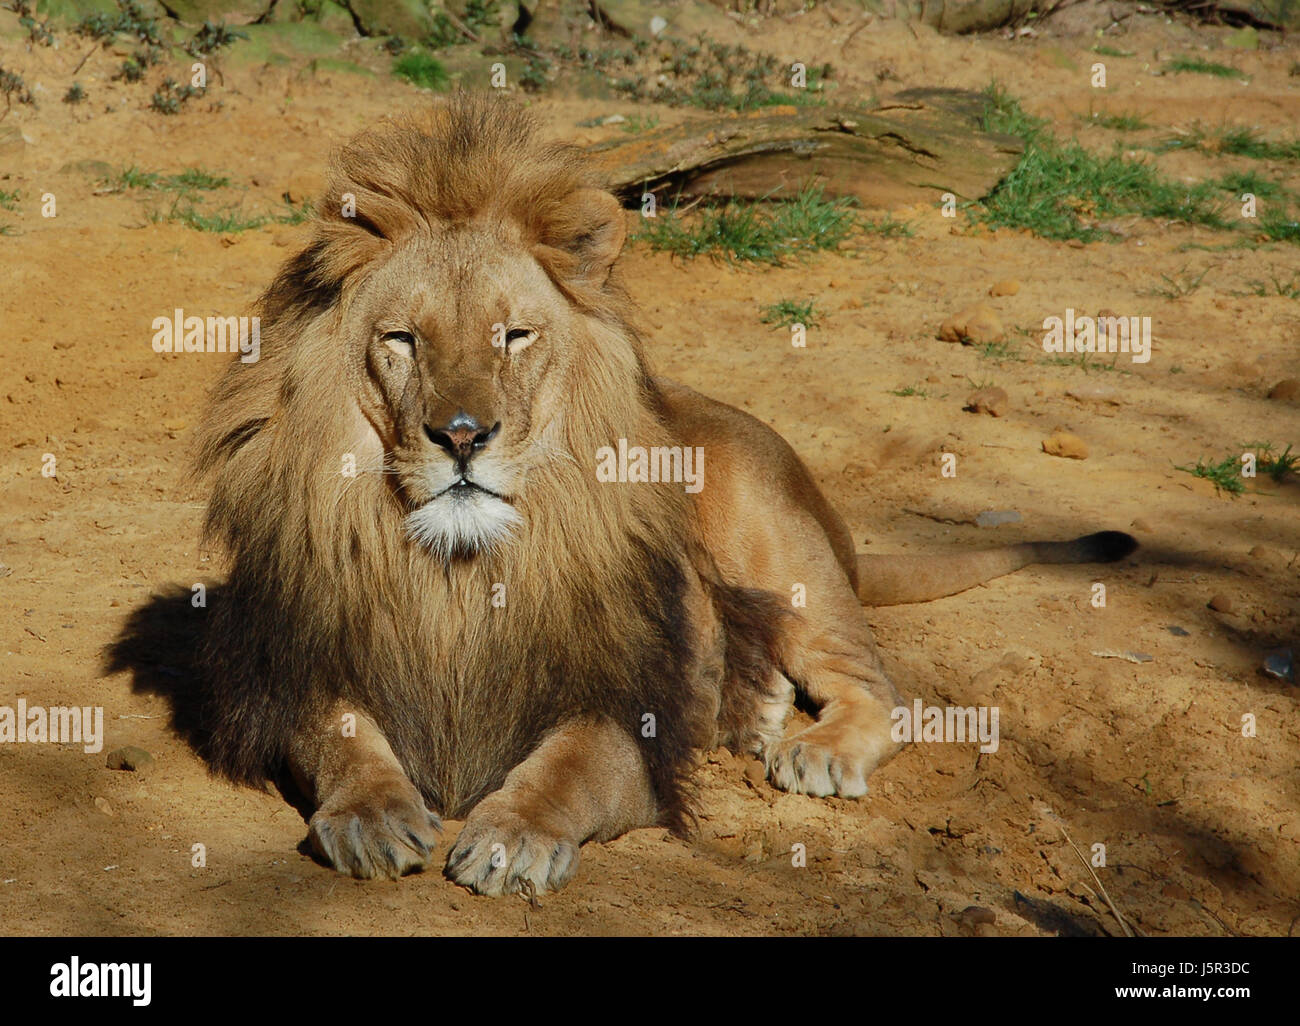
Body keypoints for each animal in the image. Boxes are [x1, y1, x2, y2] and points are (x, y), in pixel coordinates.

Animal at [194, 93, 1136, 896]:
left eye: (514, 335)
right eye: (402, 339)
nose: (462, 436)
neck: (464, 570)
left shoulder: (629, 709)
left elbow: (571, 766)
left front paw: (514, 836)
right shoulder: (295, 667)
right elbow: (342, 735)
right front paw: (372, 816)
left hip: (773, 533)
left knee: (875, 685)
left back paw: (812, 748)